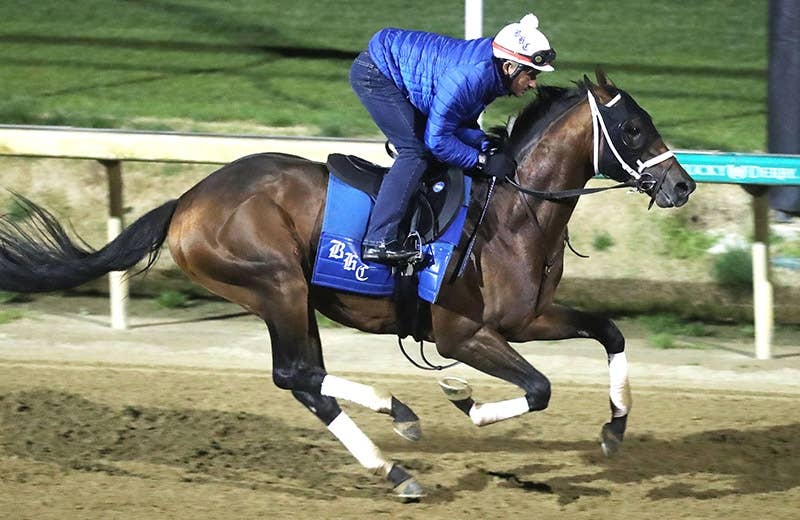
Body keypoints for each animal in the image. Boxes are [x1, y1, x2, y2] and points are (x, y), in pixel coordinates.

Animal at [0, 70, 694, 499]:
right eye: (633, 128)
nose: (683, 184)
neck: (512, 213)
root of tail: (186, 202)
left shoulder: (528, 320)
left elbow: (610, 331)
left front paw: (614, 429)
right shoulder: (462, 334)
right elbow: (539, 387)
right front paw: (463, 398)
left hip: (293, 296)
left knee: (305, 381)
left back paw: (394, 463)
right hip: (275, 282)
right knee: (297, 373)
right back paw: (399, 417)